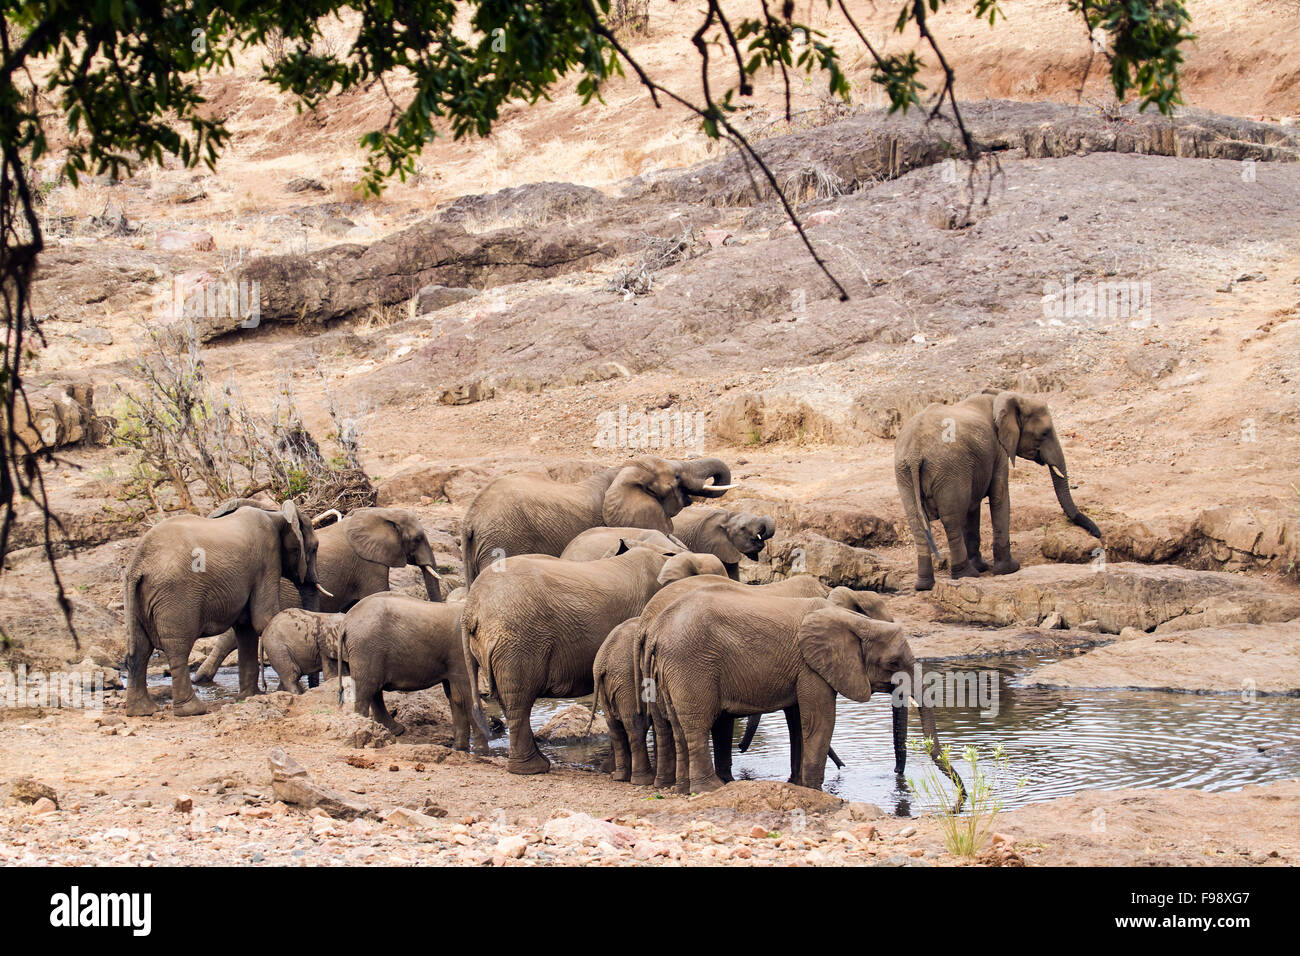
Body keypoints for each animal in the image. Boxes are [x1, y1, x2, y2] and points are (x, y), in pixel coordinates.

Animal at [123, 499, 324, 717]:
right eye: (314, 548)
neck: (276, 514)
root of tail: (138, 563)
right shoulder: (267, 559)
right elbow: (264, 619)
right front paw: (286, 690)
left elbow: (246, 628)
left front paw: (251, 696)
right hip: (175, 597)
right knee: (178, 647)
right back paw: (193, 710)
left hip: (136, 597)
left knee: (140, 648)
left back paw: (142, 711)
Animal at [338, 594, 482, 749]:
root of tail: (345, 621)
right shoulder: (459, 651)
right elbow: (466, 692)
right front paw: (479, 750)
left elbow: (455, 695)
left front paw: (461, 749)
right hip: (366, 647)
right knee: (367, 689)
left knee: (373, 690)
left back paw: (394, 731)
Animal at [643, 587, 965, 798]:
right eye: (894, 663)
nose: (963, 795)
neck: (852, 620)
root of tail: (657, 629)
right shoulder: (812, 667)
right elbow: (819, 721)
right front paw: (815, 790)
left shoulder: (804, 667)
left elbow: (799, 722)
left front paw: (798, 784)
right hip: (691, 664)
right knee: (696, 724)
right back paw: (709, 789)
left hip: (672, 670)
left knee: (677, 726)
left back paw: (684, 789)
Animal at [894, 389, 1102, 591]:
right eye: (1044, 433)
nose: (1098, 534)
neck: (1003, 397)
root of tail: (915, 453)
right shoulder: (998, 450)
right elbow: (999, 496)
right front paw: (1009, 569)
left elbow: (973, 508)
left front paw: (983, 567)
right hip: (946, 469)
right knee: (952, 521)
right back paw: (966, 575)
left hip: (904, 472)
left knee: (918, 523)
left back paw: (924, 585)